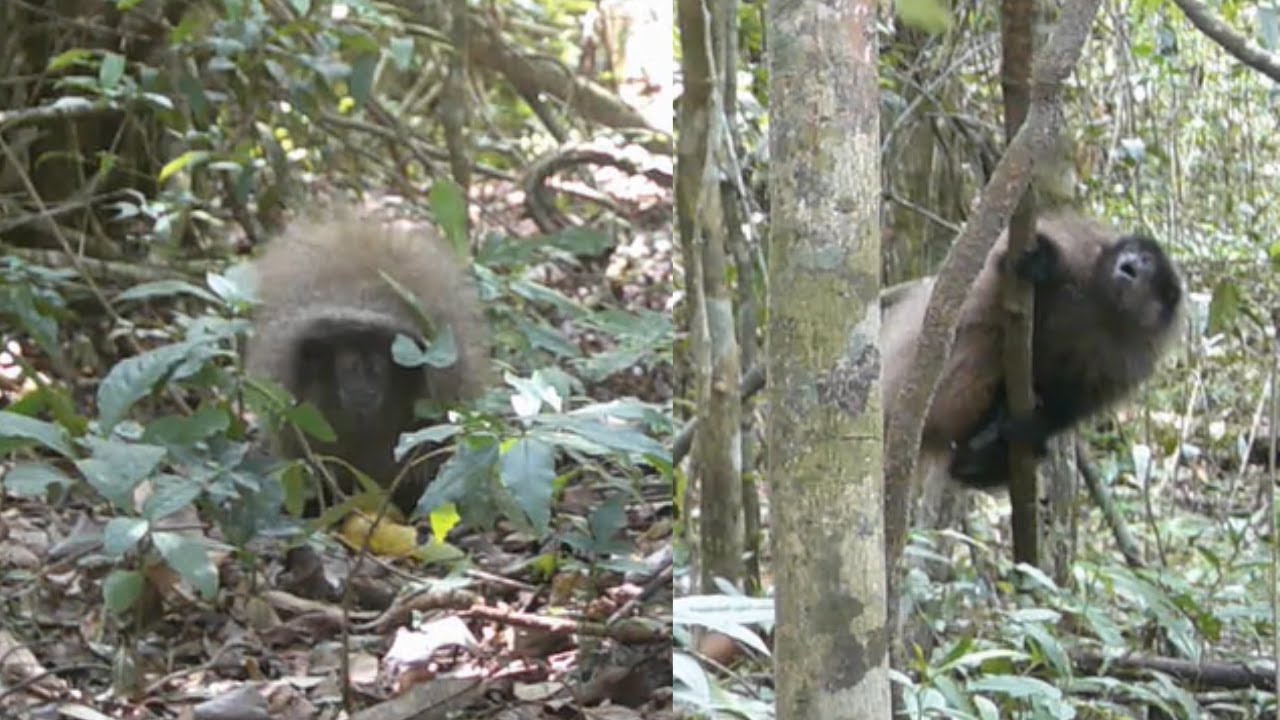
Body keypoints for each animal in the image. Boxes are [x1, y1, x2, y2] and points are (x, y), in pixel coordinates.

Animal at [882, 213, 1183, 489]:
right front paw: (1044, 263)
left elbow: (1081, 398)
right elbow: (997, 264)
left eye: (1148, 262)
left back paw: (980, 457)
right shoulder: (1084, 248)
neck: (1104, 306)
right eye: (1135, 252)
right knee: (986, 338)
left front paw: (1036, 425)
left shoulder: (1140, 350)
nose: (1133, 261)